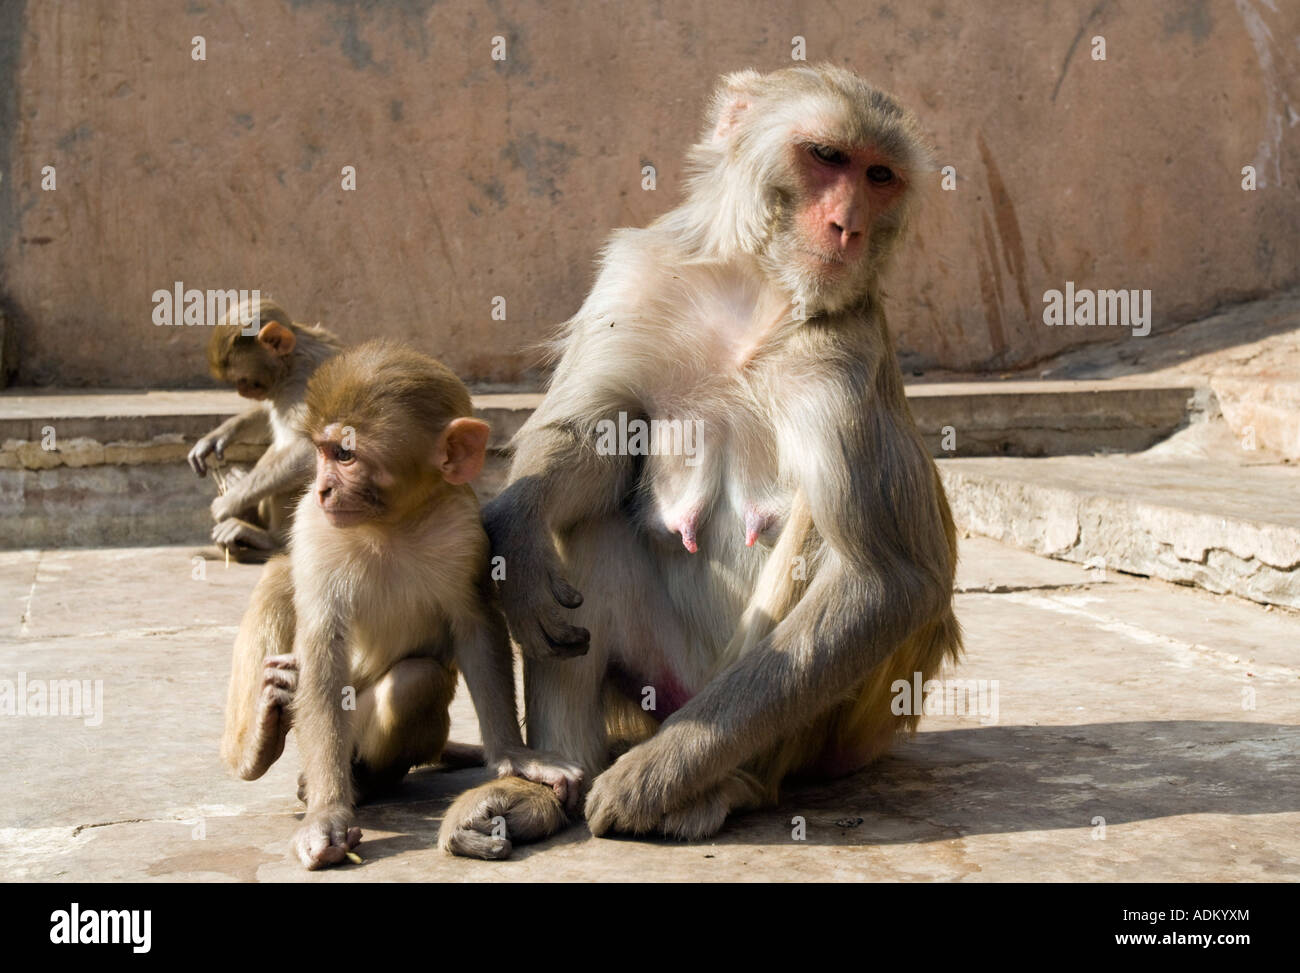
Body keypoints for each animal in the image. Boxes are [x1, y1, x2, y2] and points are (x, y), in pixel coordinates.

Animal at [187, 297, 341, 561]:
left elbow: (312, 449)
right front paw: (218, 436)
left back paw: (268, 538)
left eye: (243, 380)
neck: (291, 362)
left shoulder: (305, 382)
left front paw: (227, 504)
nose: (242, 391)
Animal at [219, 340, 582, 868]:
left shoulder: (463, 529)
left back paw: (368, 780)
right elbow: (322, 651)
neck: (392, 524)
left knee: (419, 681)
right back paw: (261, 746)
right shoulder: (314, 527)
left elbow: (476, 628)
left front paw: (517, 756)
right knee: (280, 579)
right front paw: (327, 813)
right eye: (322, 453)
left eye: (345, 454)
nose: (323, 487)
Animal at [463, 64, 962, 842]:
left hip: (808, 725)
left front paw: (654, 778)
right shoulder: (634, 279)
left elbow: (890, 577)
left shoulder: (846, 354)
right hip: (650, 683)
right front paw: (515, 530)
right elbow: (590, 439)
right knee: (585, 530)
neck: (756, 285)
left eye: (880, 175)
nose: (847, 226)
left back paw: (717, 783)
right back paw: (546, 782)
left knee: (818, 535)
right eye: (828, 156)